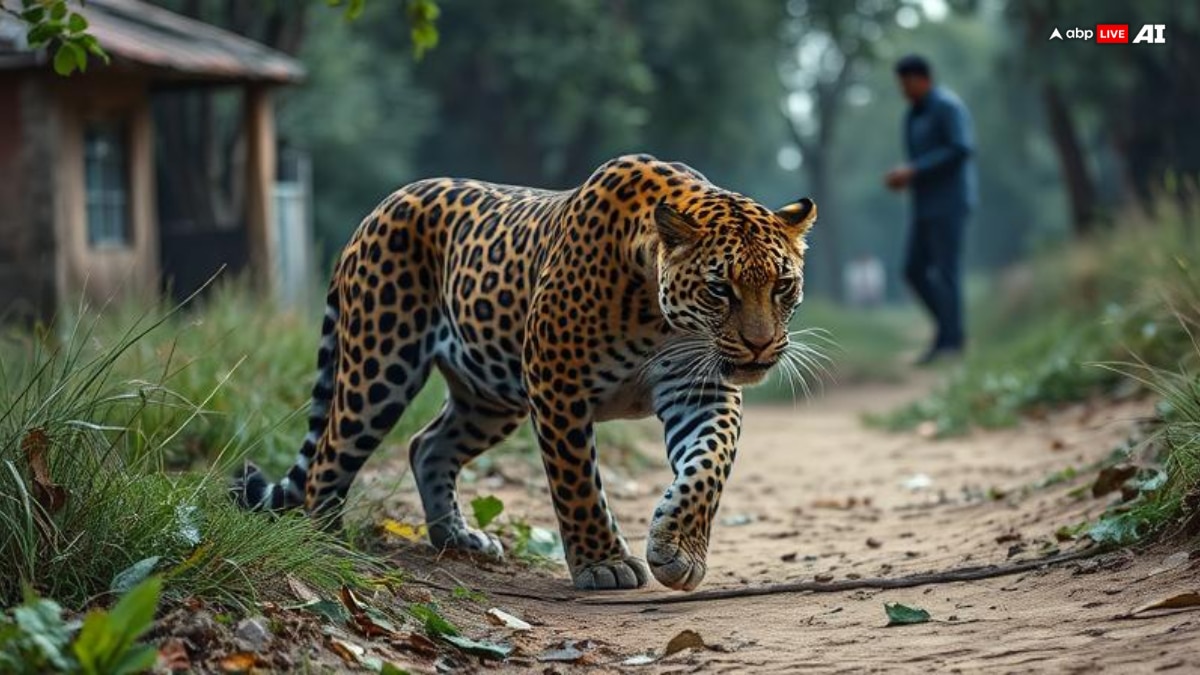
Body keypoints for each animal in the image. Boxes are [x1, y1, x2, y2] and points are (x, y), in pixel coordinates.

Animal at [233, 154, 817, 591]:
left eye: (783, 286)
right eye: (720, 289)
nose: (761, 345)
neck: (655, 308)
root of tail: (378, 209)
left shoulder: (699, 388)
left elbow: (707, 467)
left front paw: (679, 549)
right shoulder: (555, 380)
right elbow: (577, 479)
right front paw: (602, 564)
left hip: (488, 395)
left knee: (428, 445)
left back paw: (460, 540)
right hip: (379, 365)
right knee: (331, 454)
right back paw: (326, 544)